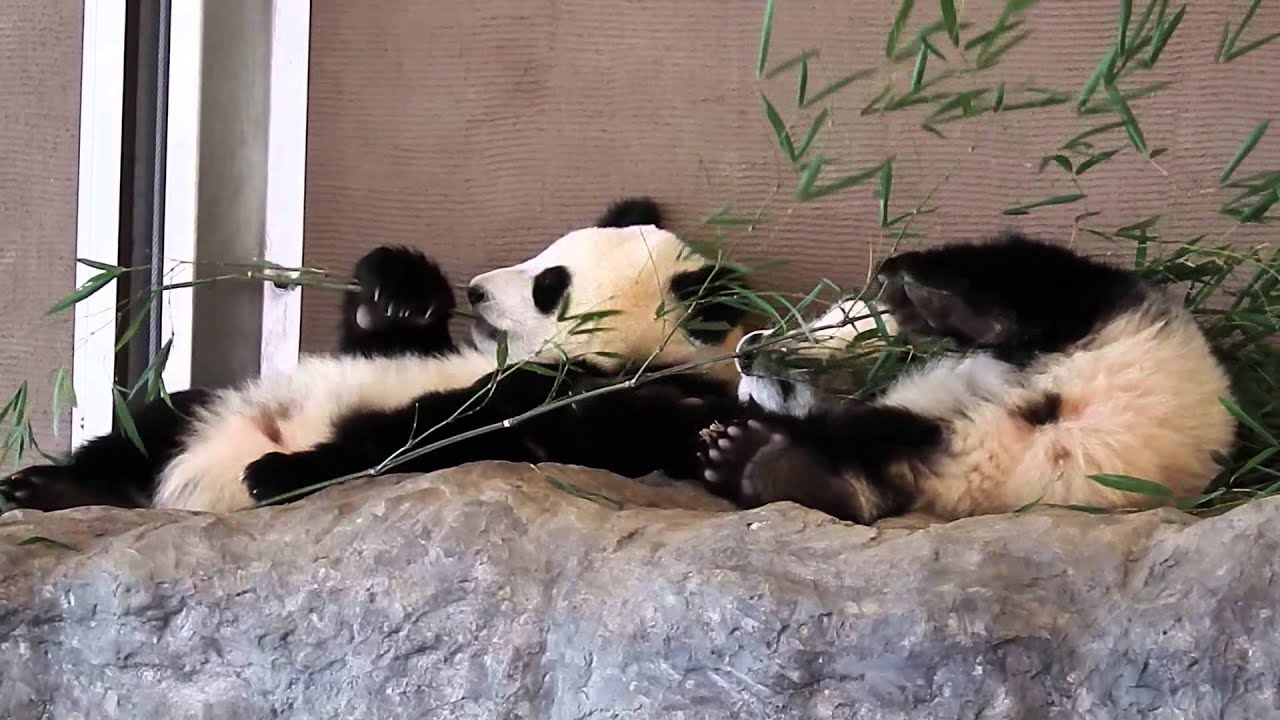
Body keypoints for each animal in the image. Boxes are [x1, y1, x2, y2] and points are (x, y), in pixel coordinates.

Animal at [2, 198, 749, 514]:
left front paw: (280, 473)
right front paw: (398, 288)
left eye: (548, 286)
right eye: (545, 255)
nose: (476, 290)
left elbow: (436, 438)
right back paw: (52, 487)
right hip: (208, 405)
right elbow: (385, 339)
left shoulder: (576, 402)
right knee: (143, 430)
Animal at [697, 233, 1238, 524]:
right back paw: (759, 463)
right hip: (939, 452)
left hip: (1106, 321)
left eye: (826, 321)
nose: (749, 352)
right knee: (868, 465)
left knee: (1019, 285)